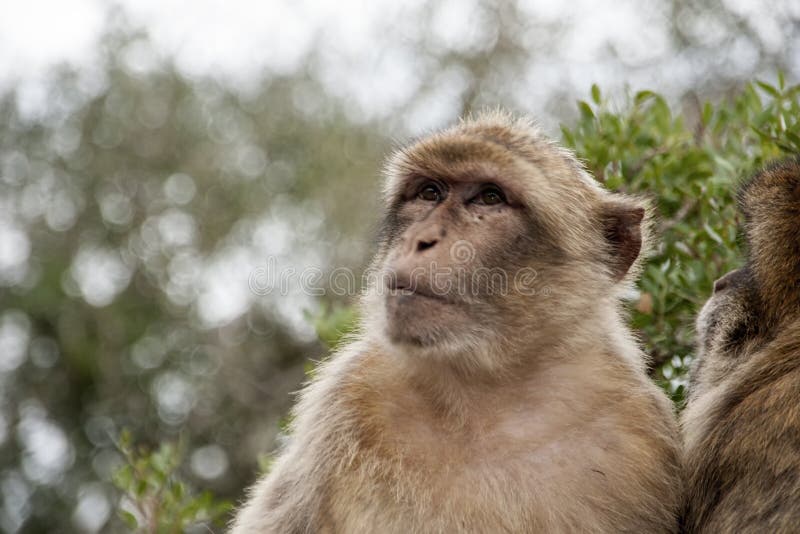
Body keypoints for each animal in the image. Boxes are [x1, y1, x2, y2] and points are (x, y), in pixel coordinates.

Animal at [231, 111, 682, 533]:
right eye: (430, 192)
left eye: (489, 197)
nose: (422, 239)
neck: (488, 395)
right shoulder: (347, 399)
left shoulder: (636, 432)